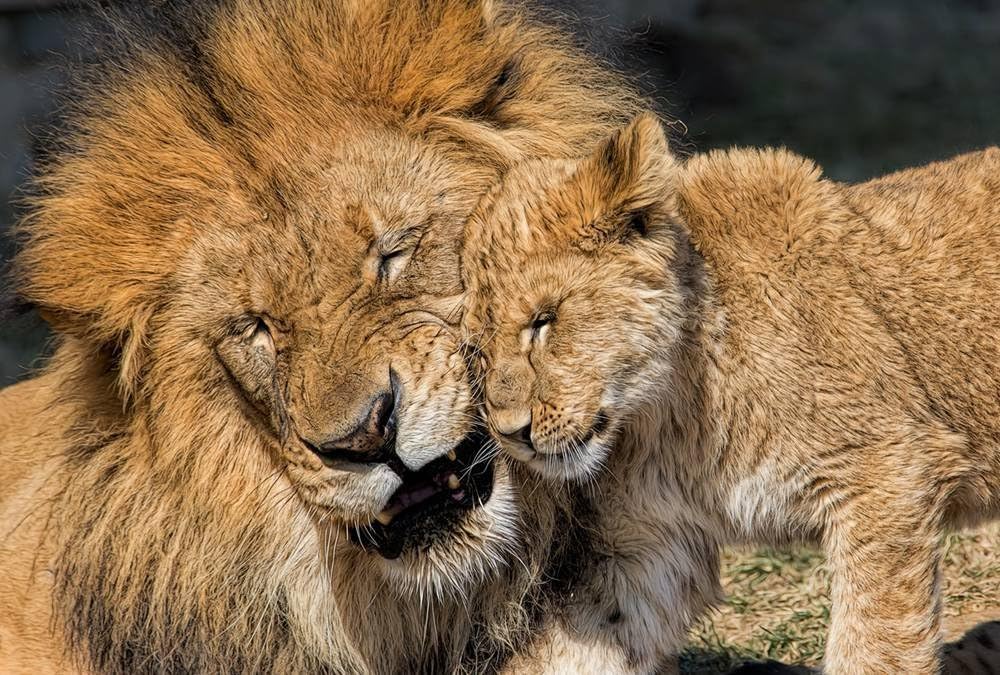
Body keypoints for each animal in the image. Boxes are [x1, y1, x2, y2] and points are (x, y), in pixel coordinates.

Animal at [462, 112, 1000, 673]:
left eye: (543, 320)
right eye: (476, 350)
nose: (511, 433)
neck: (669, 412)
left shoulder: (889, 470)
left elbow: (874, 645)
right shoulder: (647, 544)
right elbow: (571, 649)